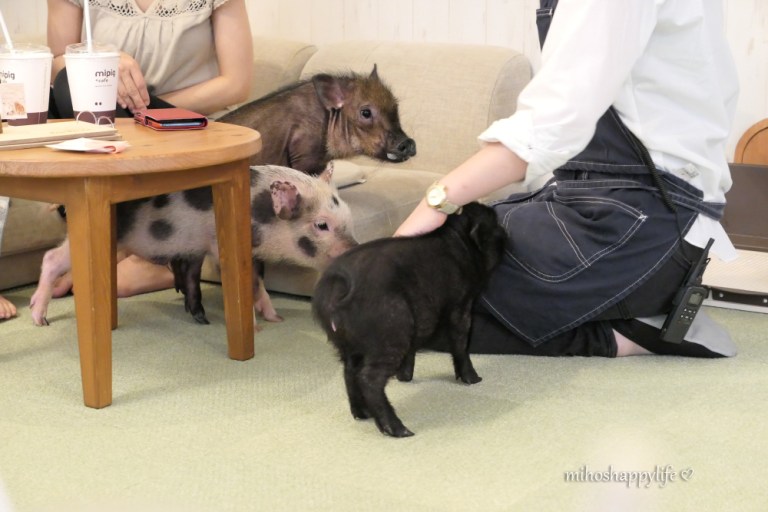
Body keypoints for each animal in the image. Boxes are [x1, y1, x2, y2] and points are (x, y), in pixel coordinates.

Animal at [29, 164, 357, 327]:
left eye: (348, 215)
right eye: (322, 225)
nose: (354, 248)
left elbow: (258, 284)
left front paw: (277, 318)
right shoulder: (222, 247)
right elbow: (246, 286)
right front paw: (255, 326)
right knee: (51, 258)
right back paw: (39, 318)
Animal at [312, 202, 507, 437]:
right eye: (494, 225)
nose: (506, 234)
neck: (459, 240)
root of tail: (338, 285)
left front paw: (404, 377)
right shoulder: (461, 305)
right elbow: (460, 343)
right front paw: (475, 380)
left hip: (346, 346)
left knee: (349, 373)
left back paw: (362, 414)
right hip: (392, 331)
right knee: (368, 378)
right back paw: (400, 430)